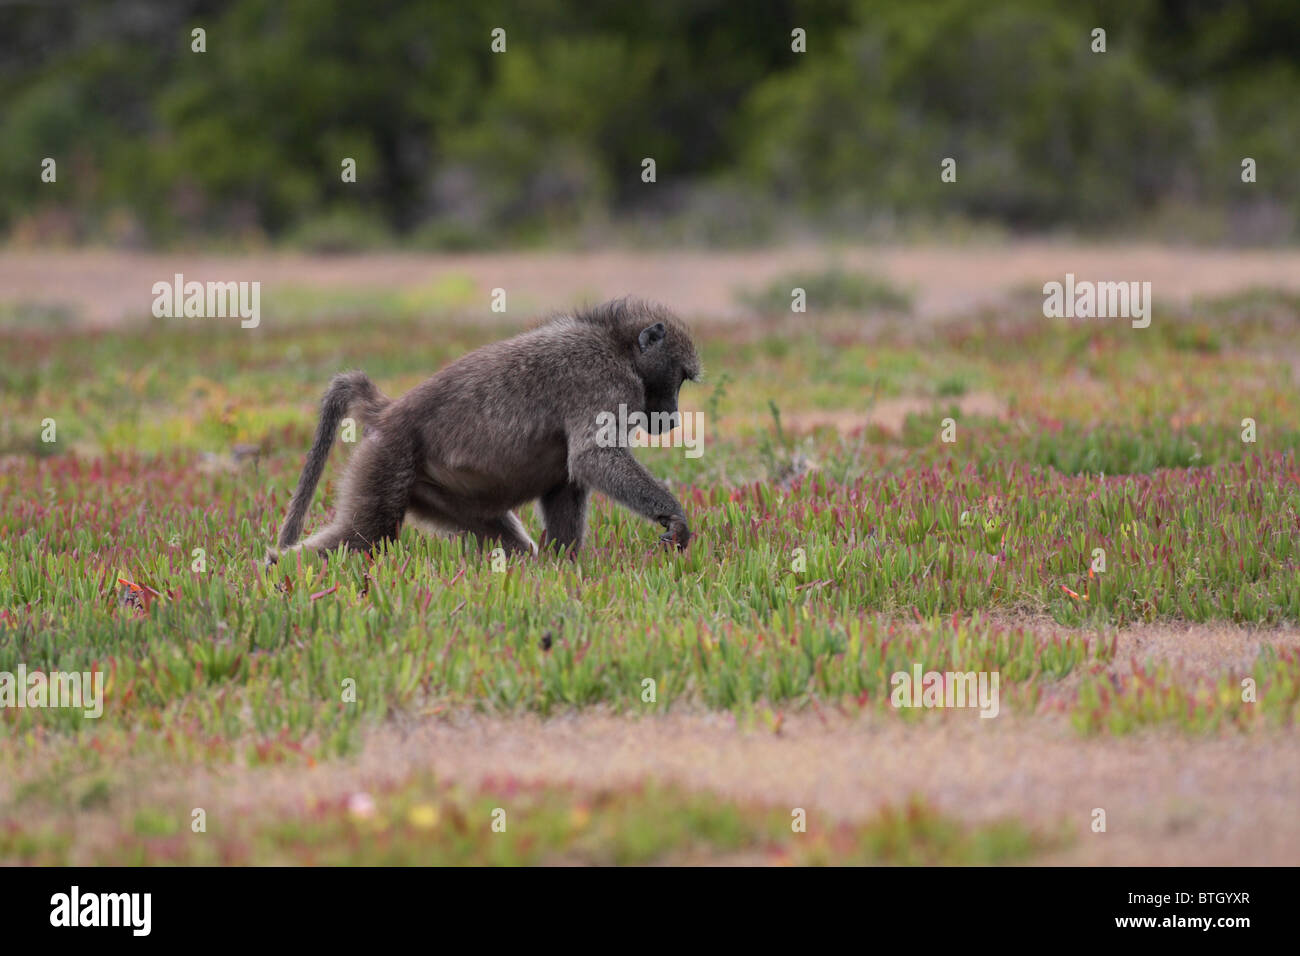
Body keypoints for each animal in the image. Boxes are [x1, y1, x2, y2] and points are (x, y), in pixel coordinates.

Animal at [269, 298, 700, 563]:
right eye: (680, 377)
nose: (673, 419)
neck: (618, 345)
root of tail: (389, 411)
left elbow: (568, 480)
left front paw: (564, 569)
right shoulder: (604, 381)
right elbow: (593, 457)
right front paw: (674, 517)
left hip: (440, 492)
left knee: (510, 544)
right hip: (387, 459)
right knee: (364, 535)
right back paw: (275, 568)